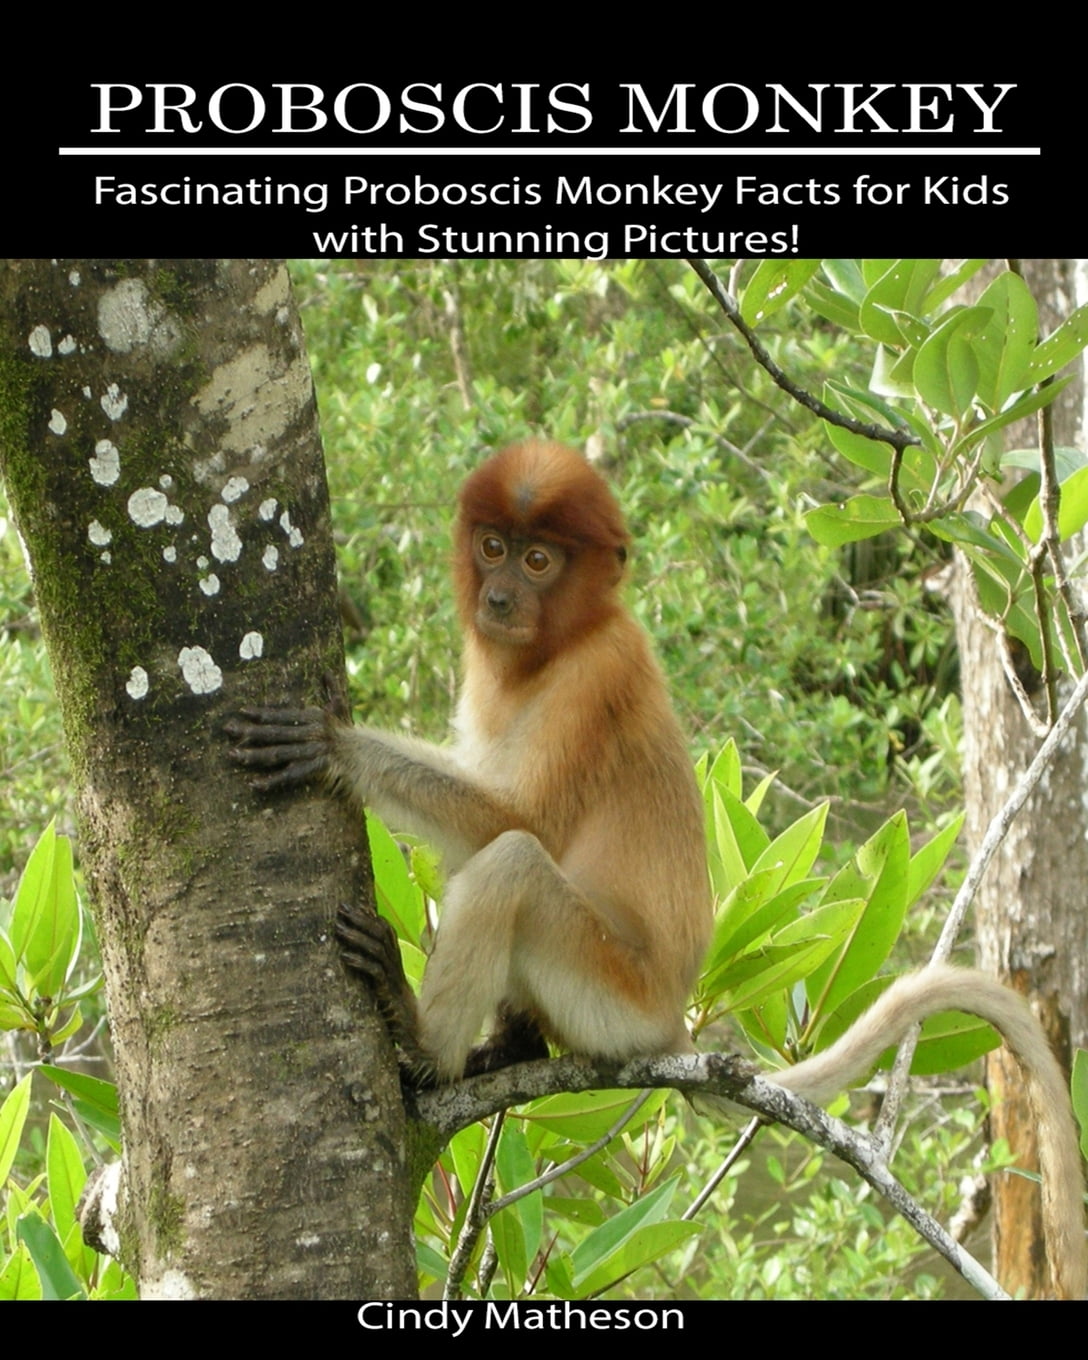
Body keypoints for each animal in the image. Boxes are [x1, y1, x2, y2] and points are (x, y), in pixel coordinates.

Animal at [227, 439, 1086, 1299]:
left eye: (540, 560)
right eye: (493, 547)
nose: (499, 599)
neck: (558, 645)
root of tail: (673, 1017)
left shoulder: (598, 672)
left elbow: (513, 822)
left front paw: (333, 746)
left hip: (609, 994)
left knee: (513, 865)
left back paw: (424, 1045)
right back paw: (510, 1046)